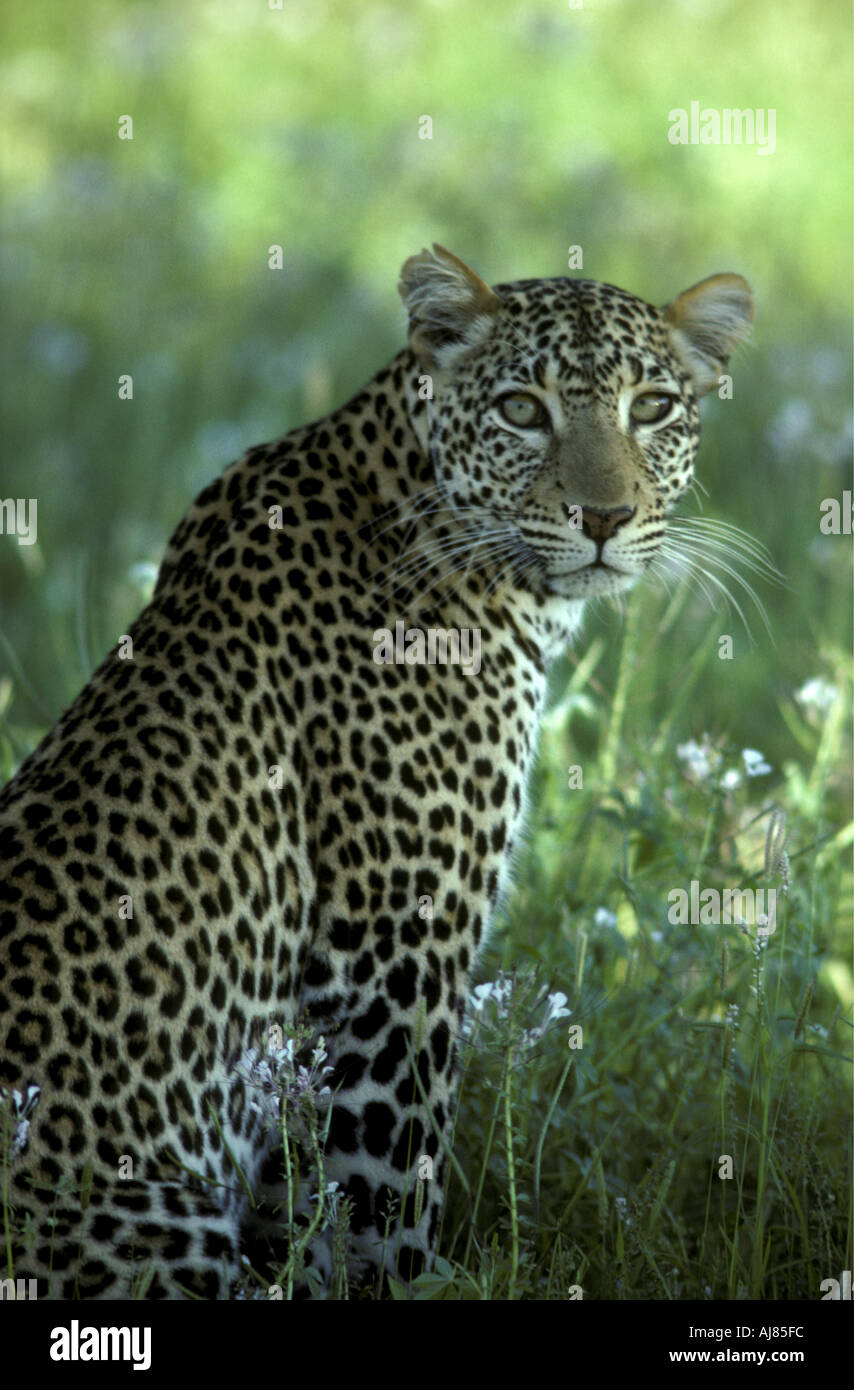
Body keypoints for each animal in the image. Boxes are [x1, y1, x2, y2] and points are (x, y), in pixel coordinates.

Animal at [0, 244, 753, 1298]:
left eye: (651, 407)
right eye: (523, 409)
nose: (604, 516)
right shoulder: (391, 959)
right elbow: (384, 1194)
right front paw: (409, 1281)